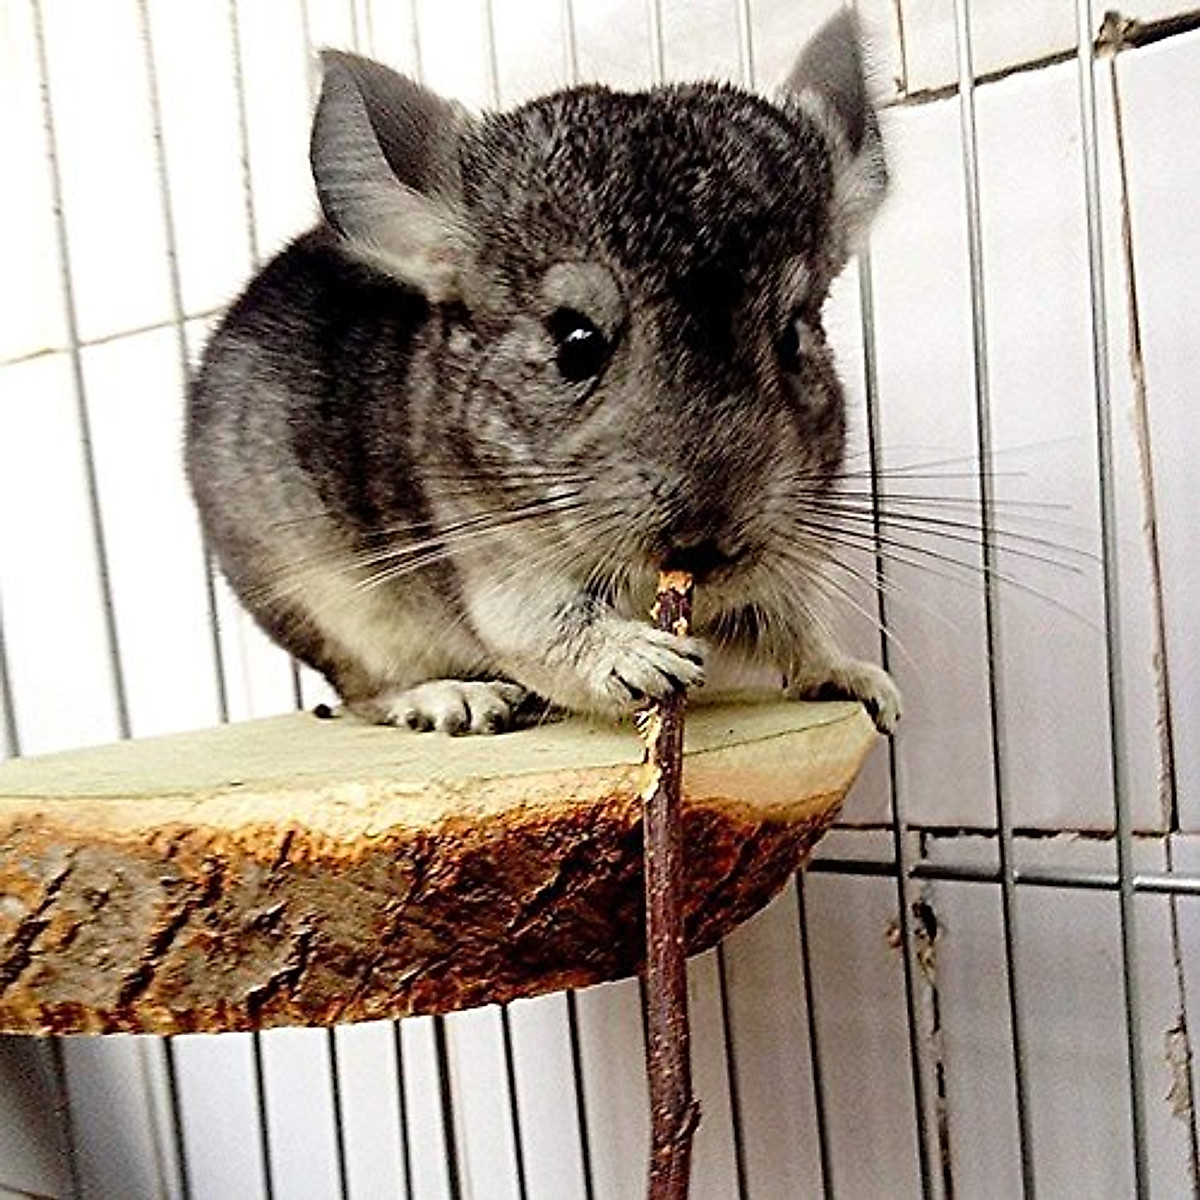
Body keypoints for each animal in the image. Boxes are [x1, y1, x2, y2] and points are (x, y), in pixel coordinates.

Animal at [186, 12, 902, 736]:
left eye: (792, 337)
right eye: (575, 341)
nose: (705, 540)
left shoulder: (780, 568)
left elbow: (792, 624)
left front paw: (864, 684)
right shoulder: (495, 570)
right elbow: (548, 633)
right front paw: (646, 661)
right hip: (329, 610)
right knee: (365, 693)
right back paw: (456, 699)